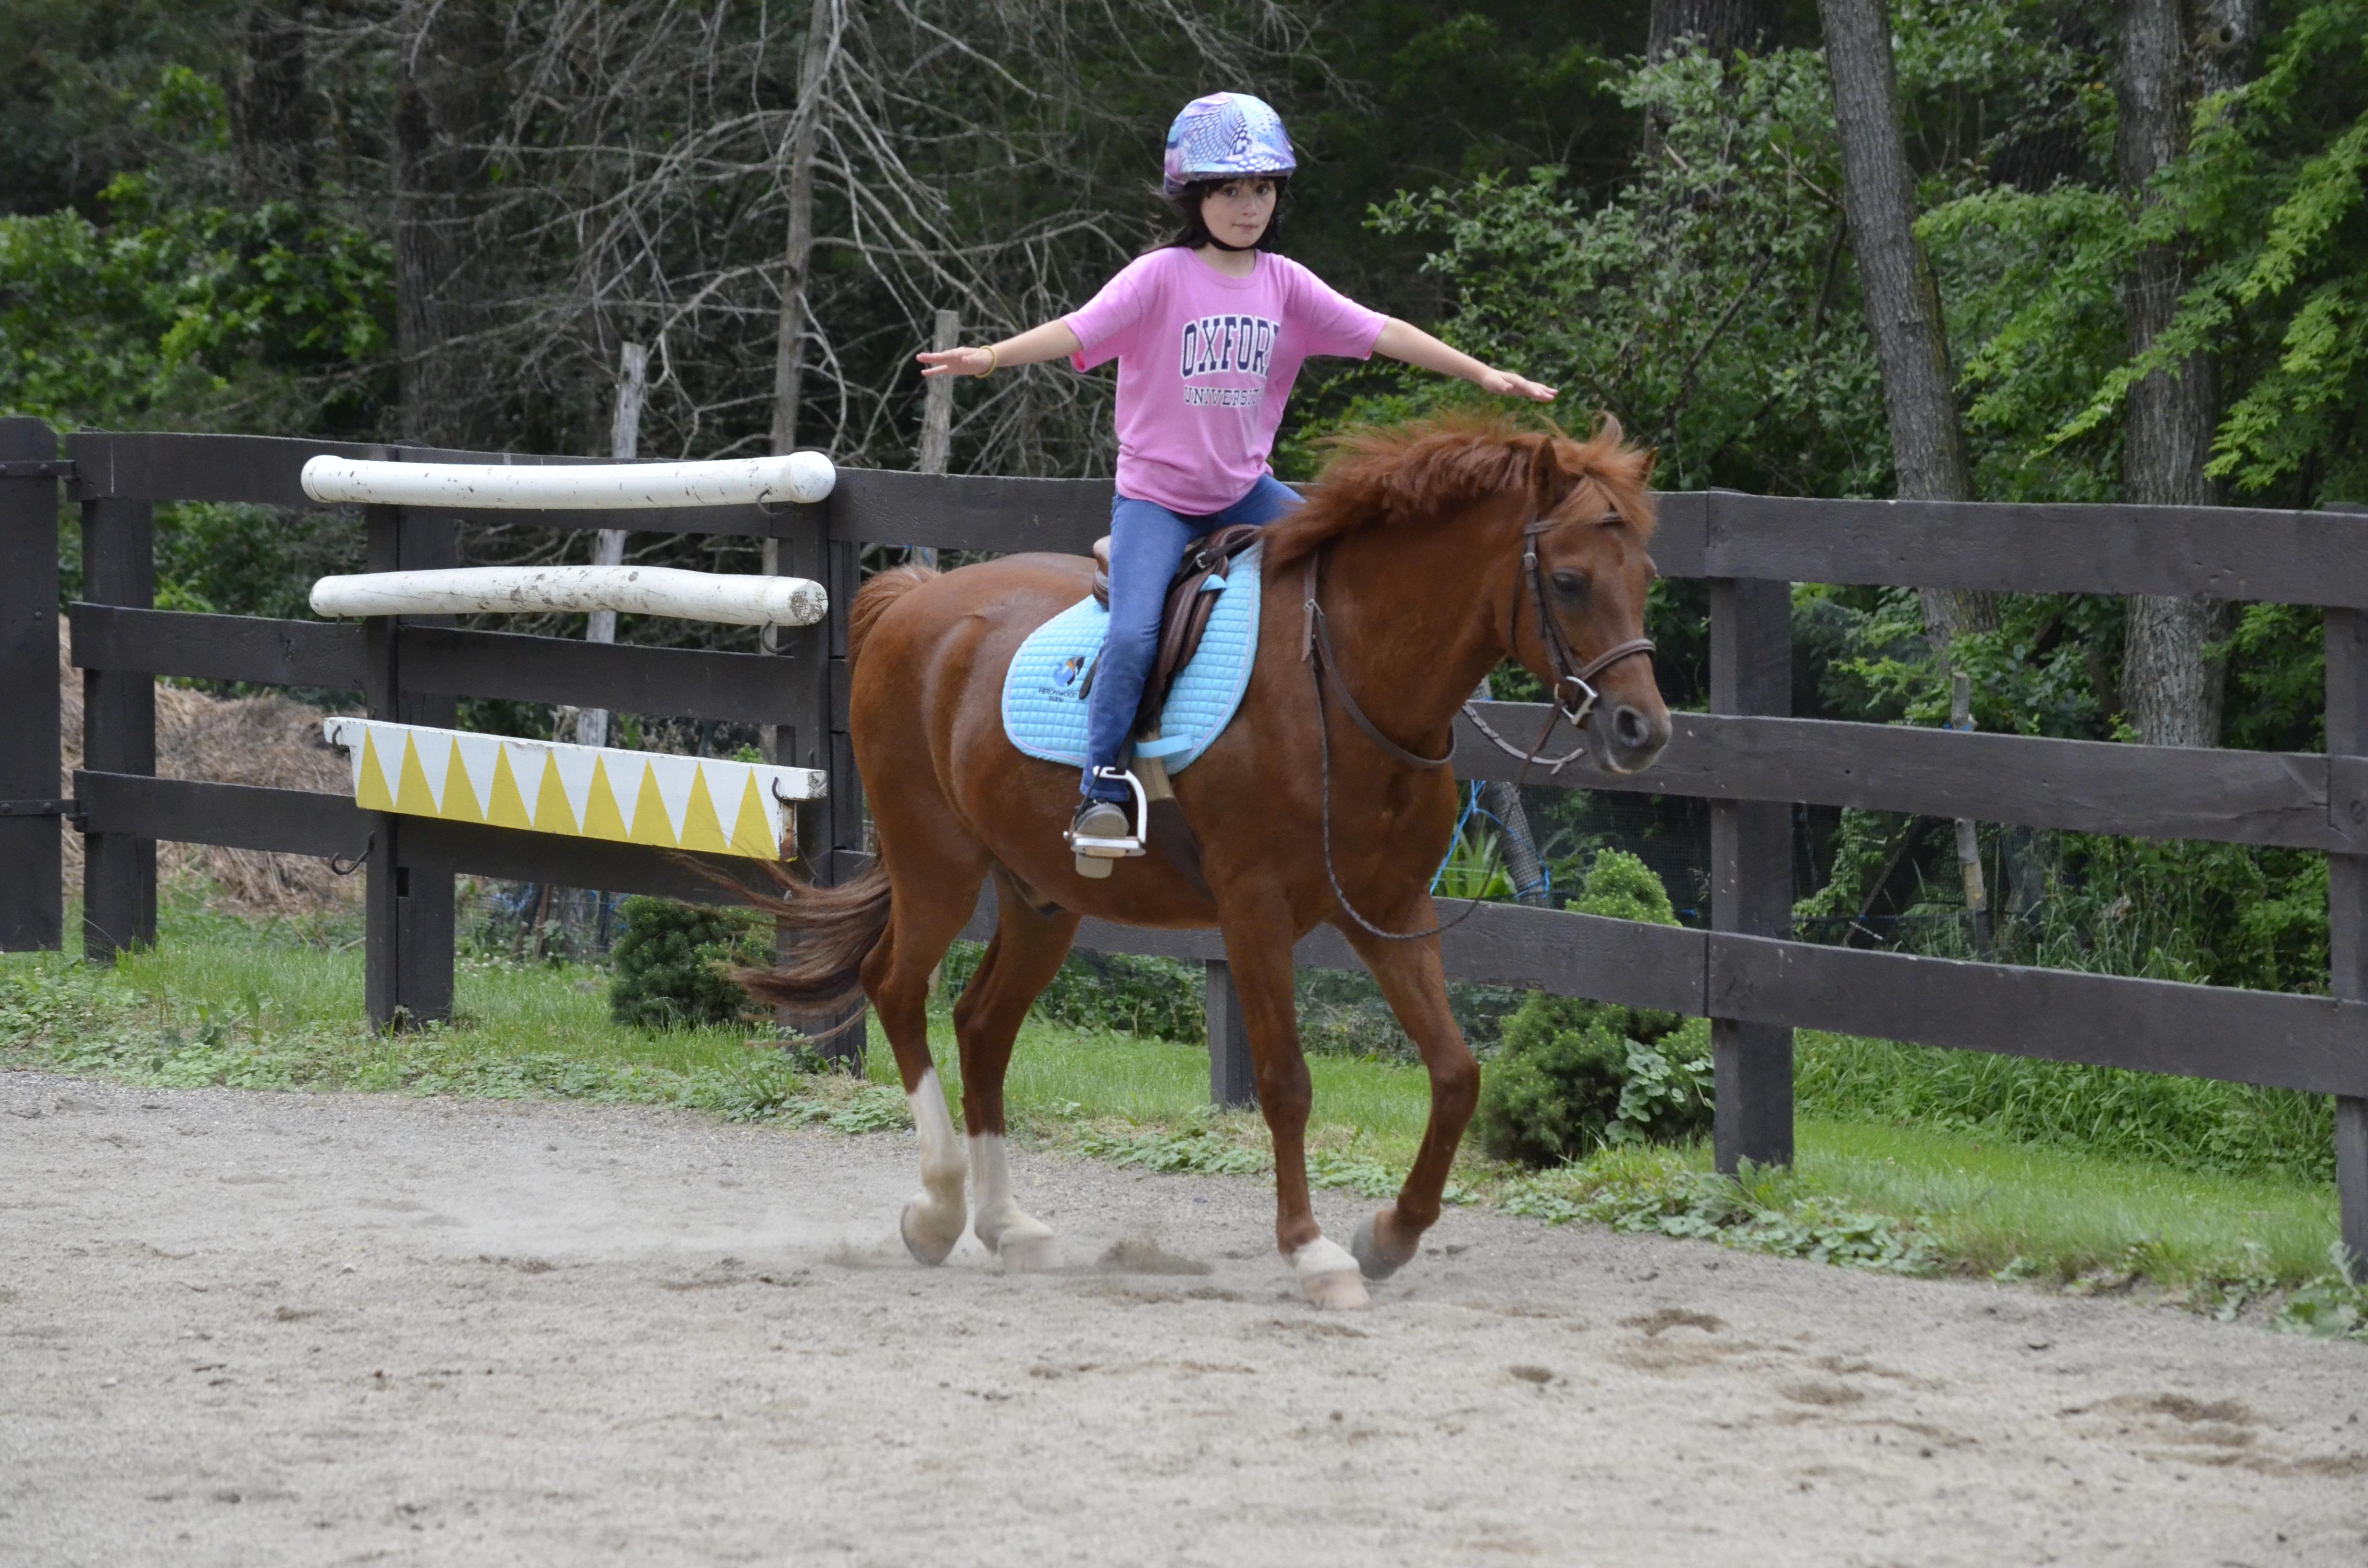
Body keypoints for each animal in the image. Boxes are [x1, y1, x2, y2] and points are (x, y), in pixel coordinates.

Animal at [741, 413, 1671, 1309]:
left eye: (1645, 575)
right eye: (1569, 580)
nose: (1643, 730)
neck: (1344, 679)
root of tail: (916, 600)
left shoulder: (1392, 910)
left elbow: (1455, 1074)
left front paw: (1390, 1234)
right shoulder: (1254, 909)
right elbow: (1285, 1081)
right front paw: (1313, 1252)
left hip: (1042, 895)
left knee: (980, 1025)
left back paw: (1006, 1226)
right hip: (936, 864)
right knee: (897, 989)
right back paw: (937, 1209)